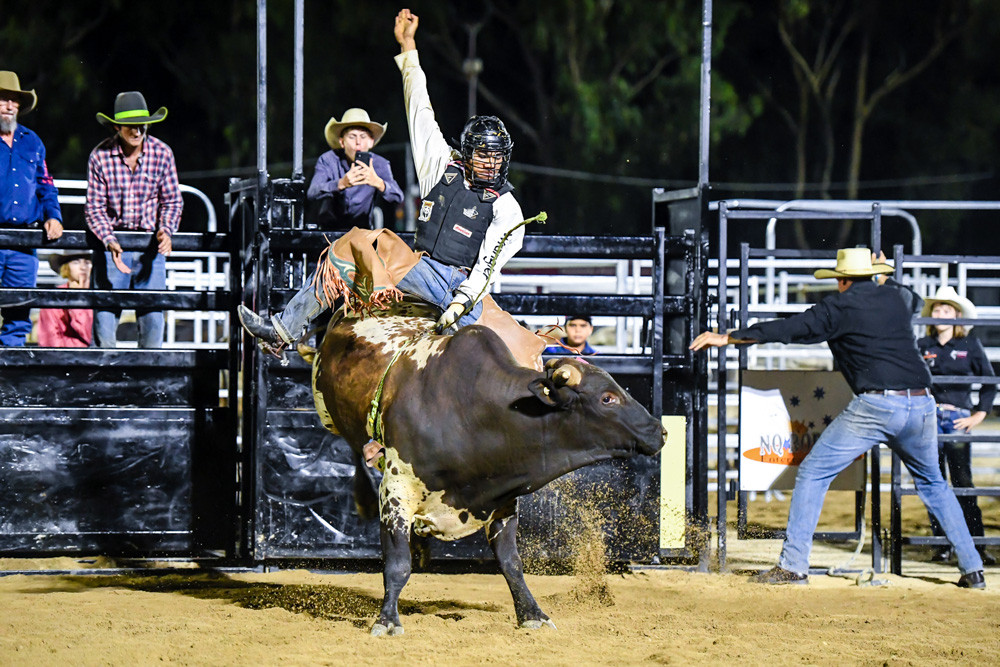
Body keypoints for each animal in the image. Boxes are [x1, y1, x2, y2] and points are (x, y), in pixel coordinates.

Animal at [308, 300, 666, 636]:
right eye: (607, 398)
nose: (659, 431)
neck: (475, 410)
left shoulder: (503, 499)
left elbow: (511, 563)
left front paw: (533, 615)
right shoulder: (398, 489)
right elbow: (397, 564)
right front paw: (387, 621)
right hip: (328, 413)